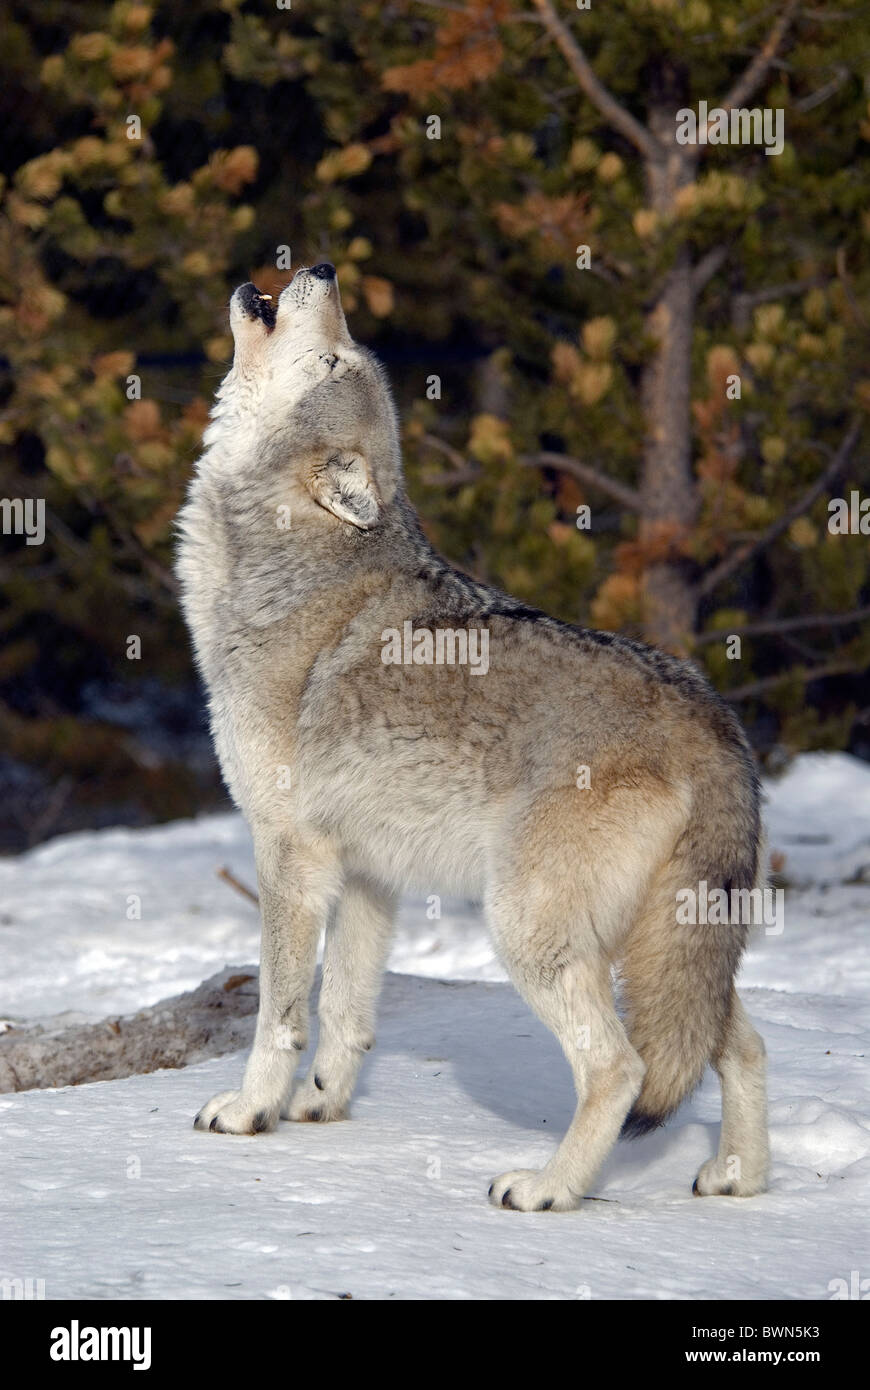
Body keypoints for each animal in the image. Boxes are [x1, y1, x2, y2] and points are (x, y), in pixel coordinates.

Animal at [175, 263, 769, 1211]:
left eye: (337, 354)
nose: (322, 269)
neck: (290, 564)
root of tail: (714, 717)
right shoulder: (368, 874)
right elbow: (346, 1014)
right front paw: (321, 1106)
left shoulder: (288, 853)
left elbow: (280, 1013)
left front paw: (249, 1111)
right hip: (666, 950)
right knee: (738, 1042)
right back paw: (736, 1179)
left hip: (530, 930)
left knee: (623, 1068)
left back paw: (547, 1188)